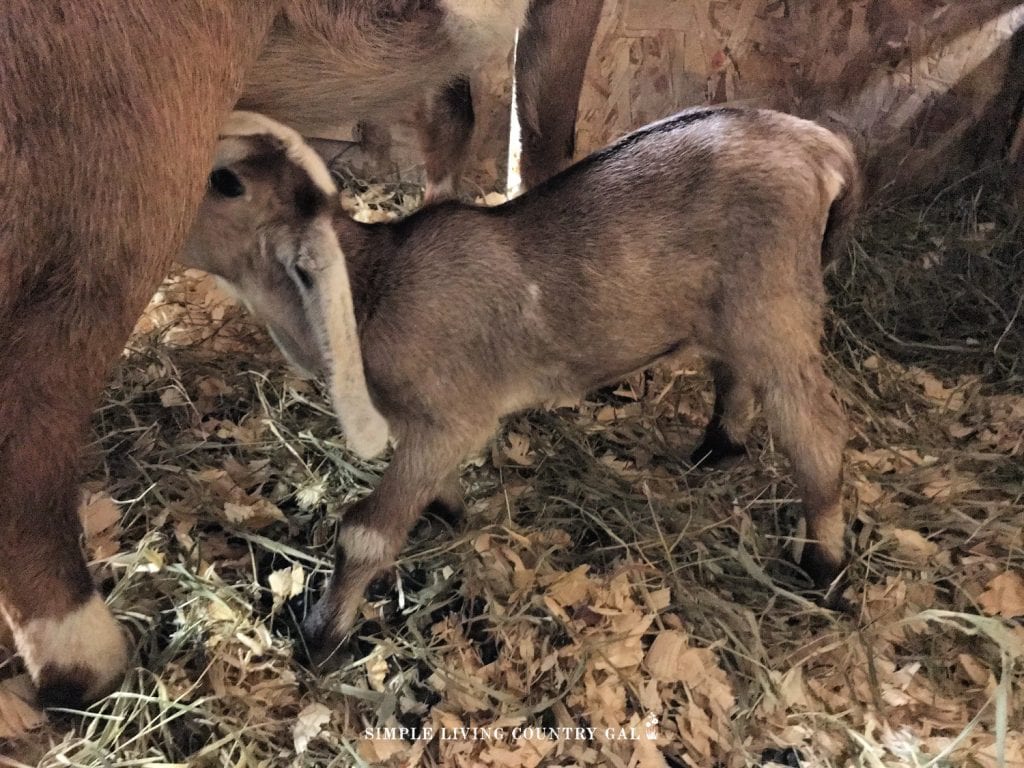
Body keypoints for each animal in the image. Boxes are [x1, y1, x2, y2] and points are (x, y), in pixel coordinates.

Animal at [184, 107, 862, 661]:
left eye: (226, 181)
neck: (379, 284)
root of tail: (822, 146)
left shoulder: (452, 417)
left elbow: (366, 534)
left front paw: (320, 637)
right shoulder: (424, 427)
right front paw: (452, 513)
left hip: (776, 307)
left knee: (817, 432)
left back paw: (824, 564)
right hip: (734, 313)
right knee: (735, 373)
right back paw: (718, 446)